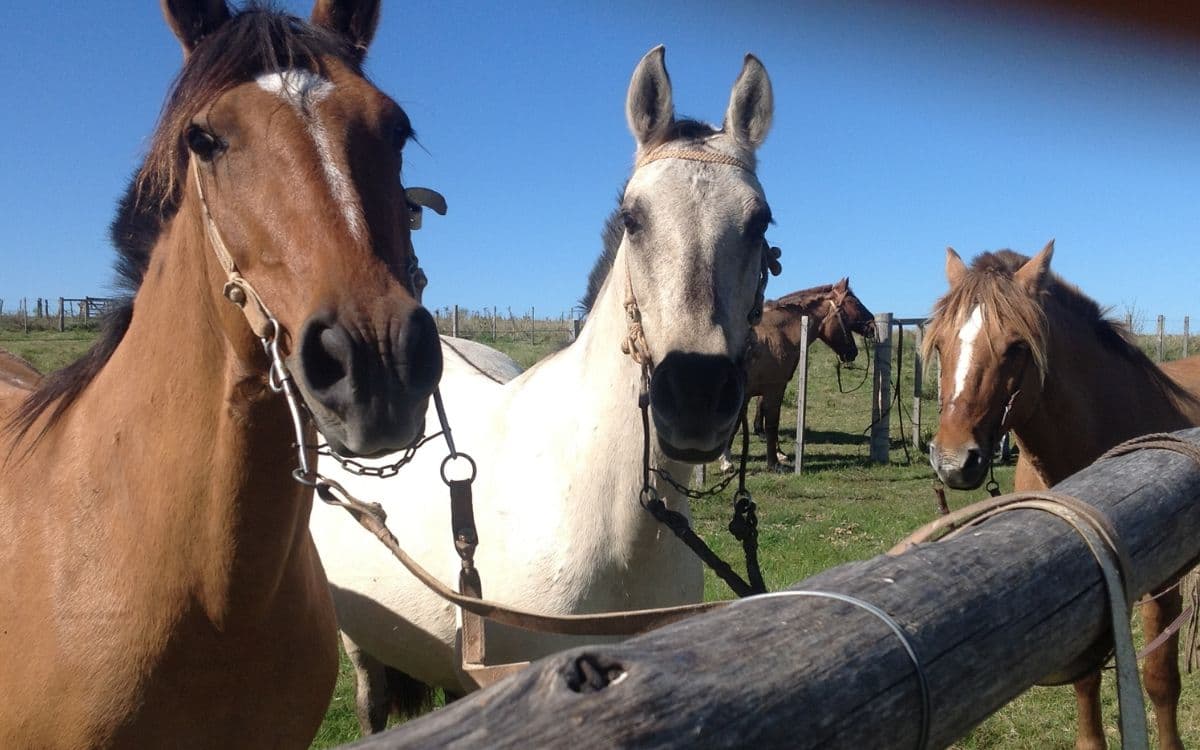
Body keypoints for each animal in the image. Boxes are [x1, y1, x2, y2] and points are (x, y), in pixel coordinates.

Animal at [718, 279, 875, 472]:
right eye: (855, 303)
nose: (873, 326)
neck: (777, 333)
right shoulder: (773, 389)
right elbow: (771, 424)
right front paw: (773, 463)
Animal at [924, 242, 1200, 750]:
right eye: (939, 345)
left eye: (1016, 347)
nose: (953, 460)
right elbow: (1085, 679)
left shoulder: (1163, 583)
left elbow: (1160, 679)